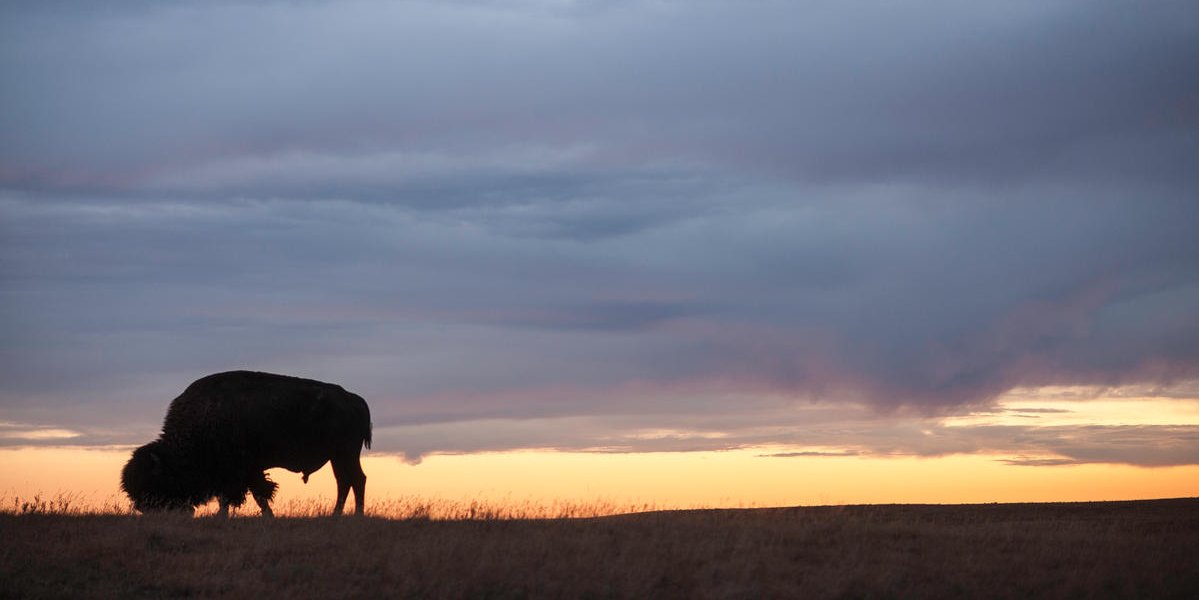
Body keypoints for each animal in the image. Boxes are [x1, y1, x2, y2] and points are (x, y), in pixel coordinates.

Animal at [121, 370, 372, 517]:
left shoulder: (242, 471)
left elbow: (255, 495)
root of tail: (354, 399)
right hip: (338, 456)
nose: (147, 510)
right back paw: (338, 515)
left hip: (345, 453)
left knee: (355, 479)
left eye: (156, 481)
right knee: (345, 481)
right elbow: (249, 496)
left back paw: (354, 515)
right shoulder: (241, 473)